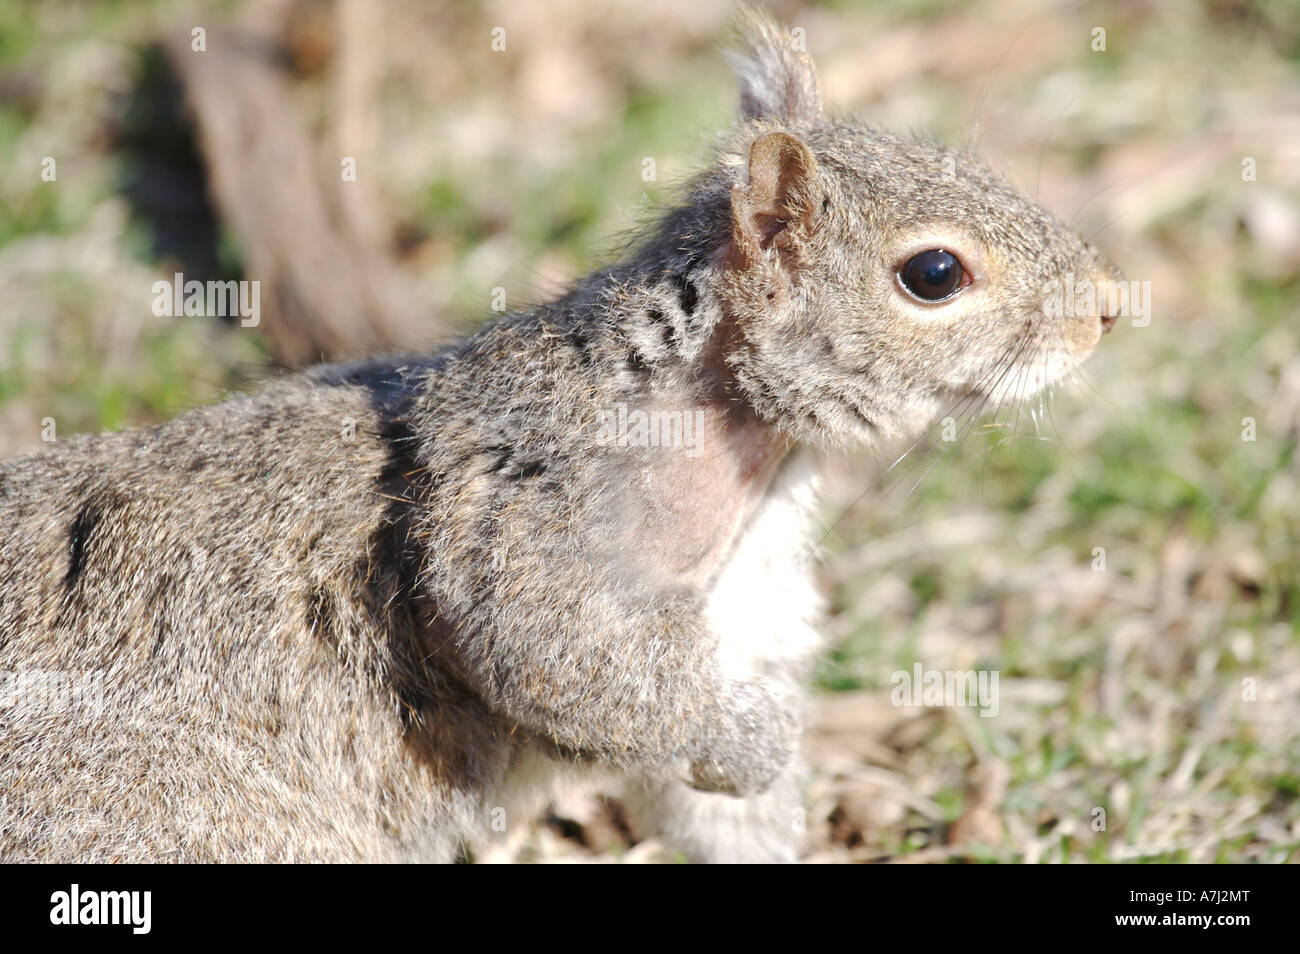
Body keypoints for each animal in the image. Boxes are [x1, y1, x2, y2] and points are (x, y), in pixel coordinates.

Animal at [0, 9, 1121, 862]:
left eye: (960, 158)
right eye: (933, 274)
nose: (1108, 307)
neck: (751, 456)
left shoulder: (745, 612)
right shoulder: (530, 511)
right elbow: (547, 653)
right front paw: (757, 741)